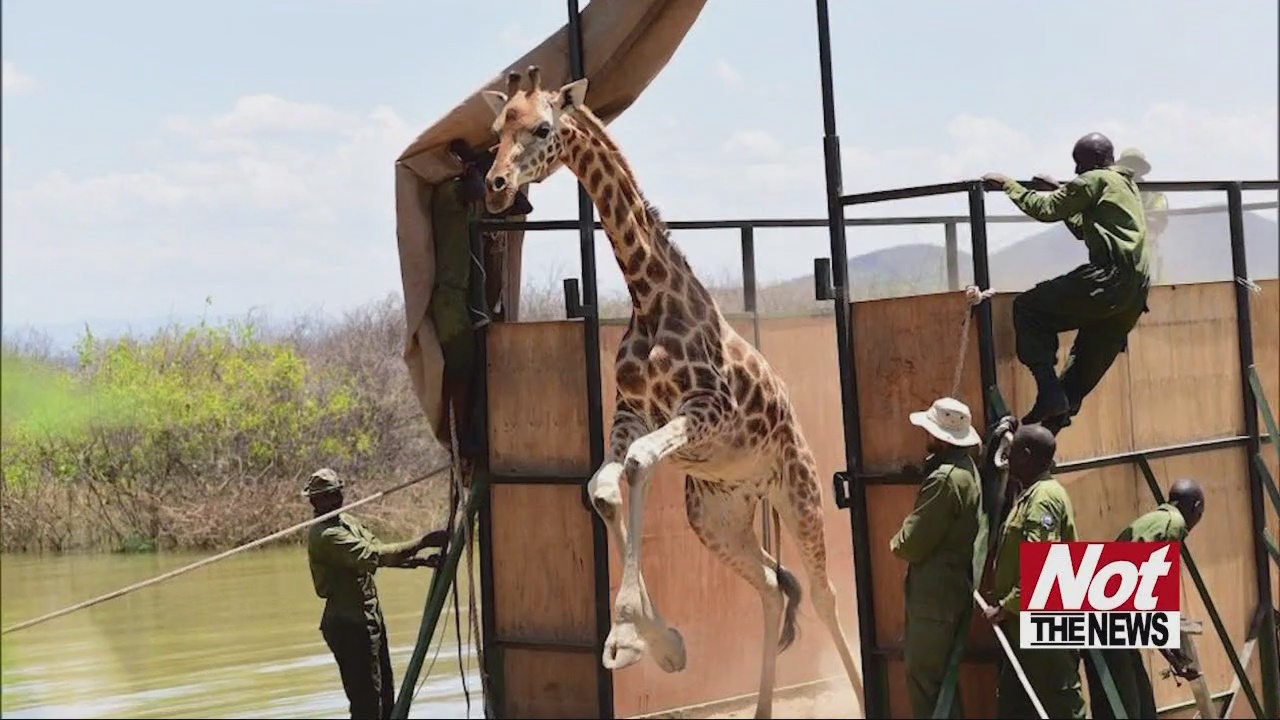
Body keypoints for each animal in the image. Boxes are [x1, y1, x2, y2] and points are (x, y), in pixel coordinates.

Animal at [479, 66, 864, 719]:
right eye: (496, 129)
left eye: (542, 128)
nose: (496, 184)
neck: (649, 294)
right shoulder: (631, 412)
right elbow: (604, 487)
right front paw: (658, 642)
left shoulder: (706, 407)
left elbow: (635, 467)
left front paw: (633, 632)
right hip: (716, 517)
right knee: (771, 588)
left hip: (800, 493)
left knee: (823, 593)